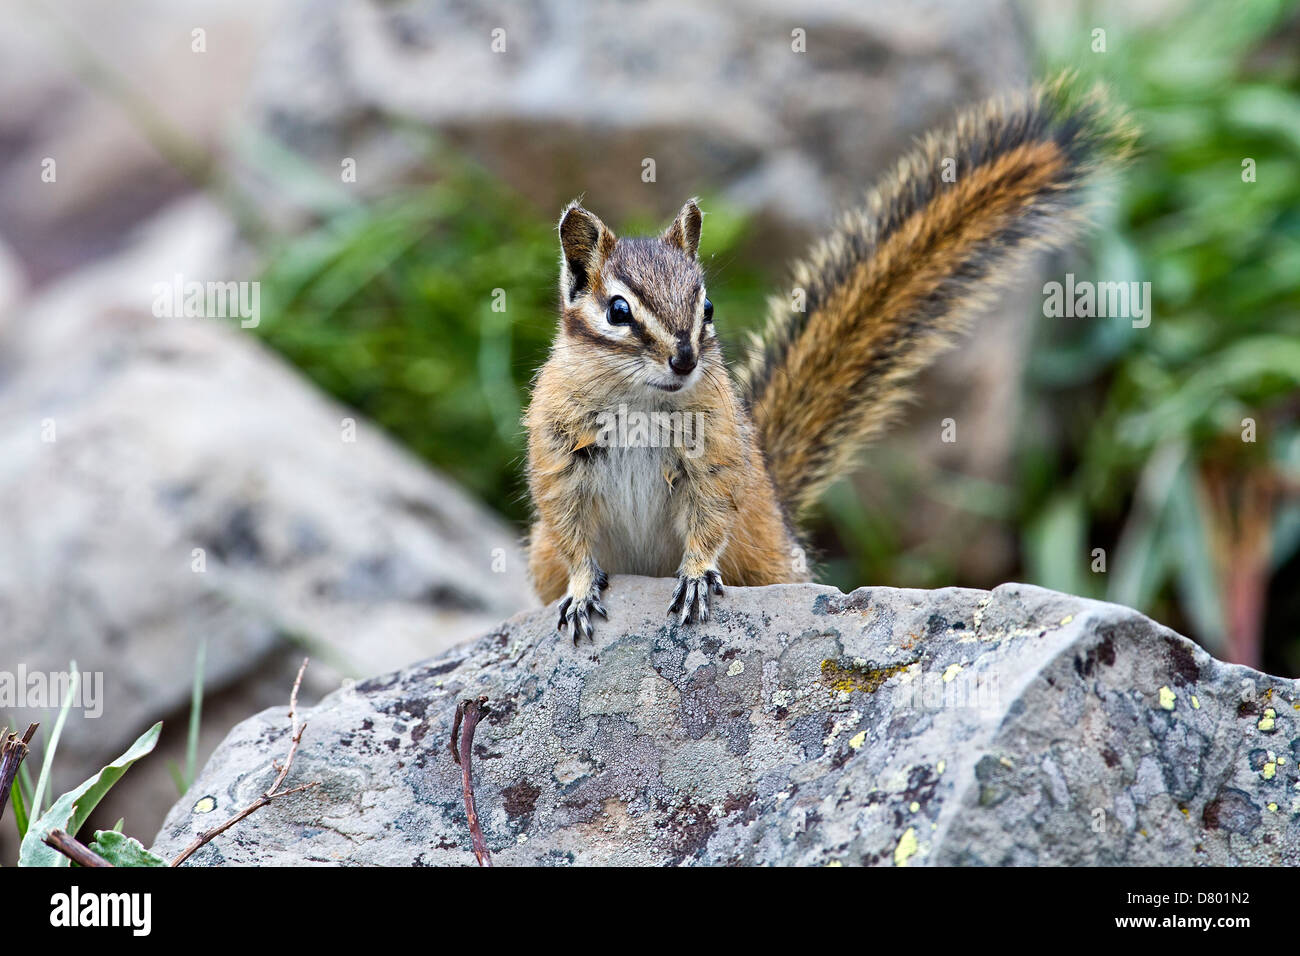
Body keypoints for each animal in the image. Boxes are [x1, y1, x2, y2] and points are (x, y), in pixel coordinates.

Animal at [525, 75, 1134, 641]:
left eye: (708, 306)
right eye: (618, 310)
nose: (685, 360)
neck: (639, 403)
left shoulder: (714, 458)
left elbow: (710, 520)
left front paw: (696, 575)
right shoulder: (560, 462)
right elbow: (572, 536)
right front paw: (581, 590)